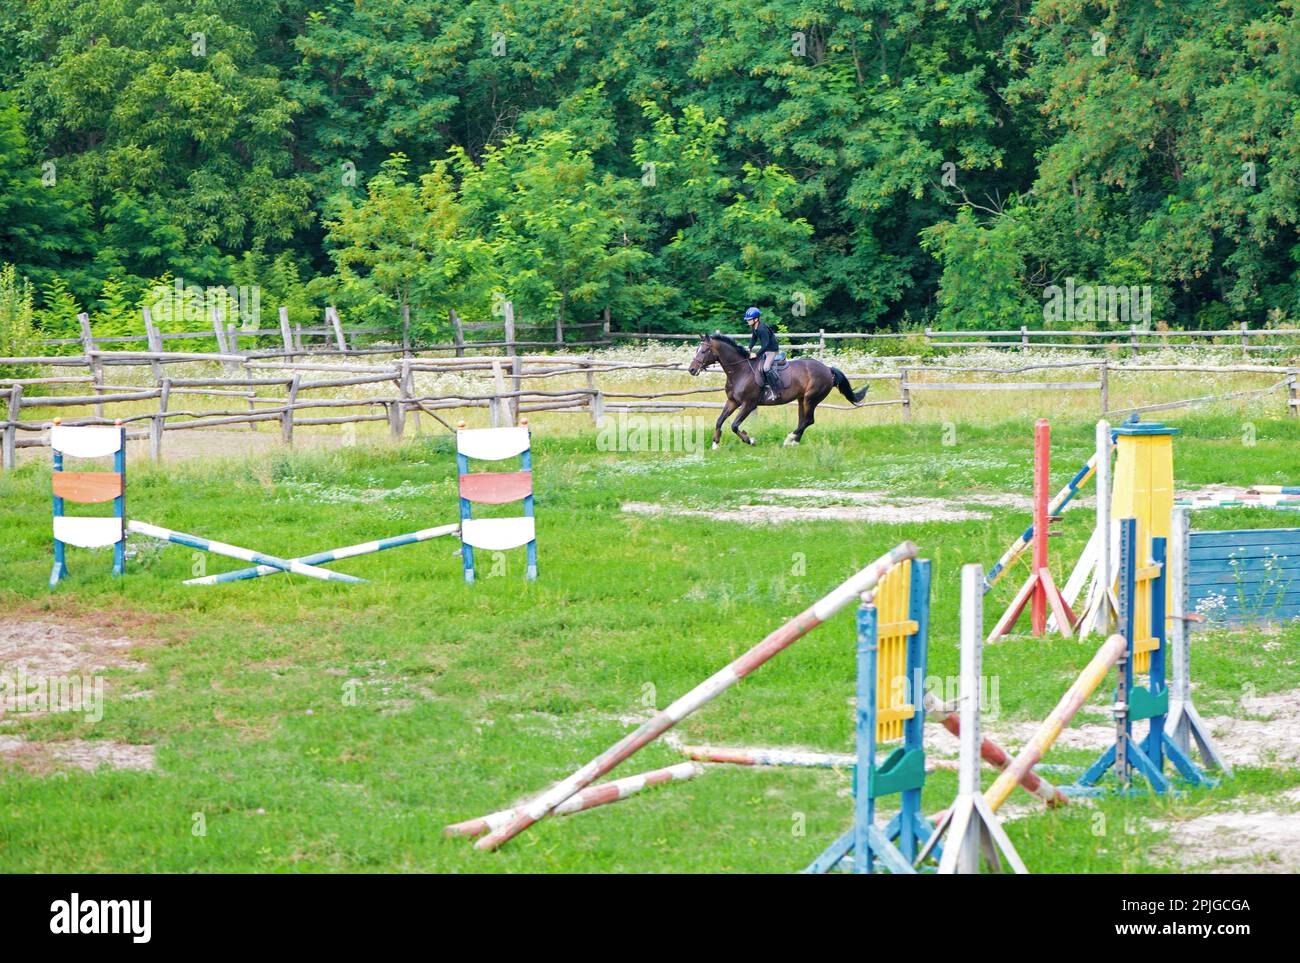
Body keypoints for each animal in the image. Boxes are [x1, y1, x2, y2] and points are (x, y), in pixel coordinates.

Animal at [687, 333, 870, 448]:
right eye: (697, 350)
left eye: (704, 351)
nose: (691, 369)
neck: (740, 371)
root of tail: (827, 369)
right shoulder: (732, 402)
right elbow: (719, 420)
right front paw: (715, 444)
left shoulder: (748, 404)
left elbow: (734, 425)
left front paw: (750, 440)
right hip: (802, 399)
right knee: (803, 420)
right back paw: (794, 442)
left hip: (811, 398)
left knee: (808, 420)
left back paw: (788, 440)